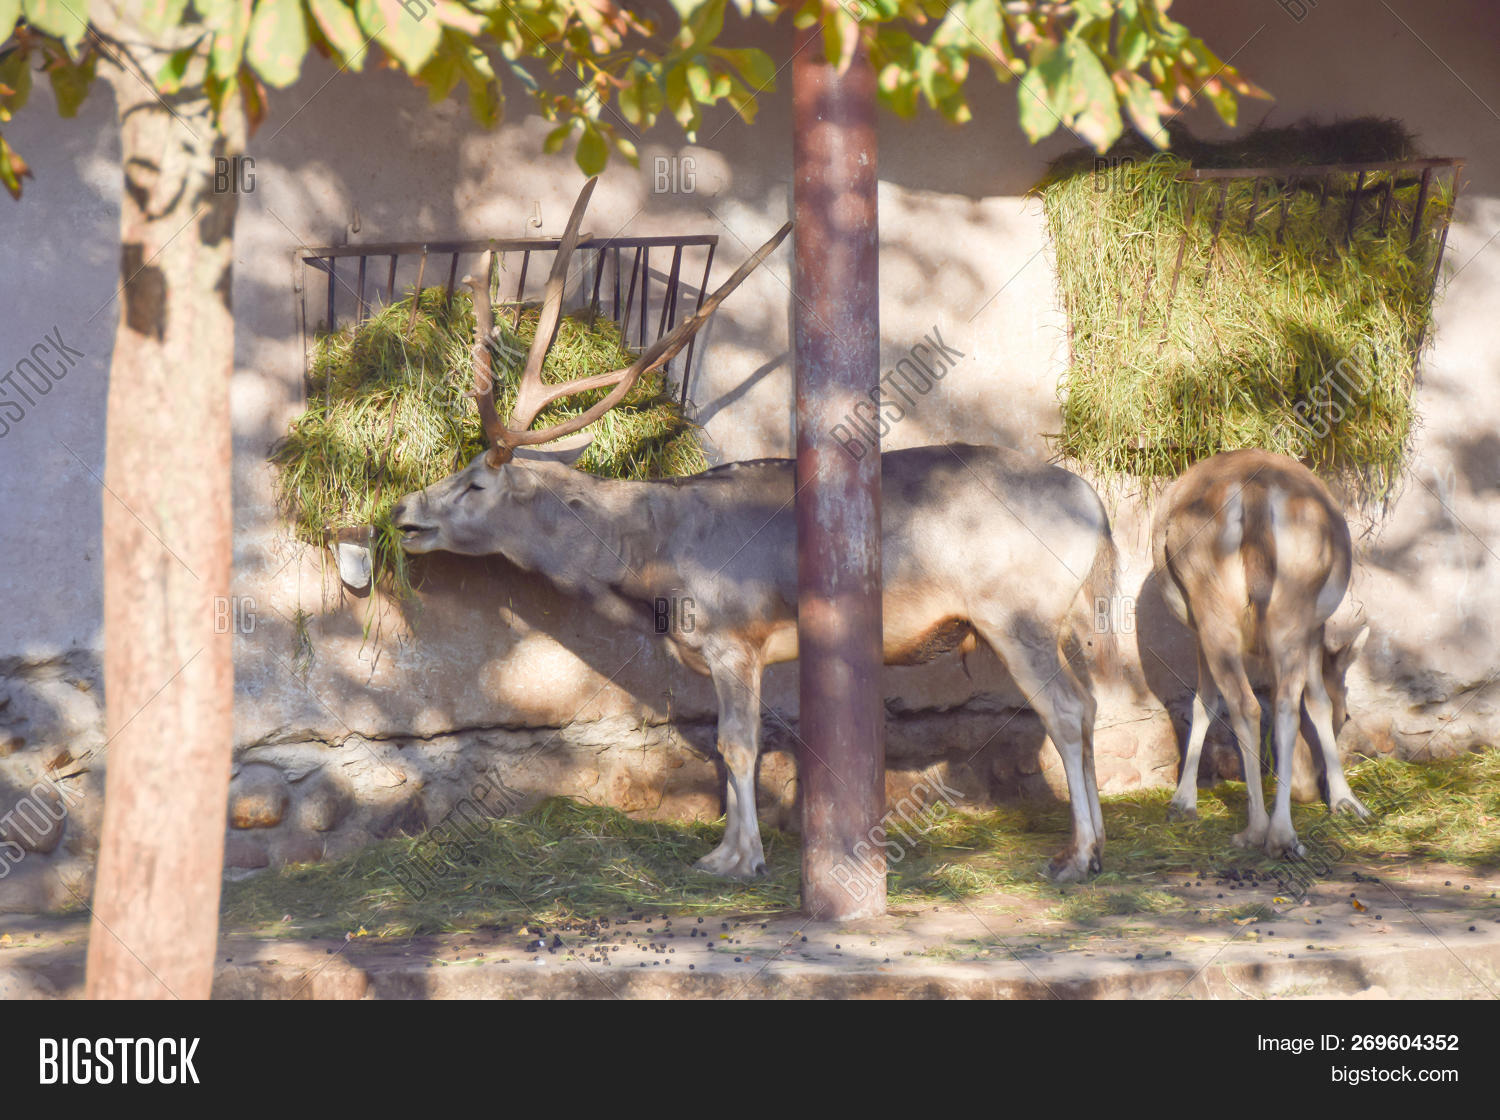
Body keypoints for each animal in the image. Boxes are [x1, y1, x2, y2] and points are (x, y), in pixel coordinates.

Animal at [389, 178, 1118, 882]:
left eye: (476, 482)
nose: (403, 514)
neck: (656, 561)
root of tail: (1094, 504)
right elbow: (735, 743)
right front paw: (734, 848)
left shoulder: (736, 635)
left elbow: (736, 744)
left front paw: (738, 858)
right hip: (1058, 621)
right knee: (1090, 704)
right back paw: (1097, 845)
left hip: (1015, 612)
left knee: (1065, 711)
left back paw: (1076, 855)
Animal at [1151, 448, 1371, 859]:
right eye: (1347, 716)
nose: (1311, 788)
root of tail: (1256, 490)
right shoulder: (1314, 630)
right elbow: (1314, 701)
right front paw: (1347, 801)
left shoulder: (1197, 631)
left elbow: (1204, 703)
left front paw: (1182, 801)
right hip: (1290, 609)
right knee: (1280, 704)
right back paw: (1278, 833)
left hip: (1215, 610)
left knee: (1248, 704)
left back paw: (1260, 830)